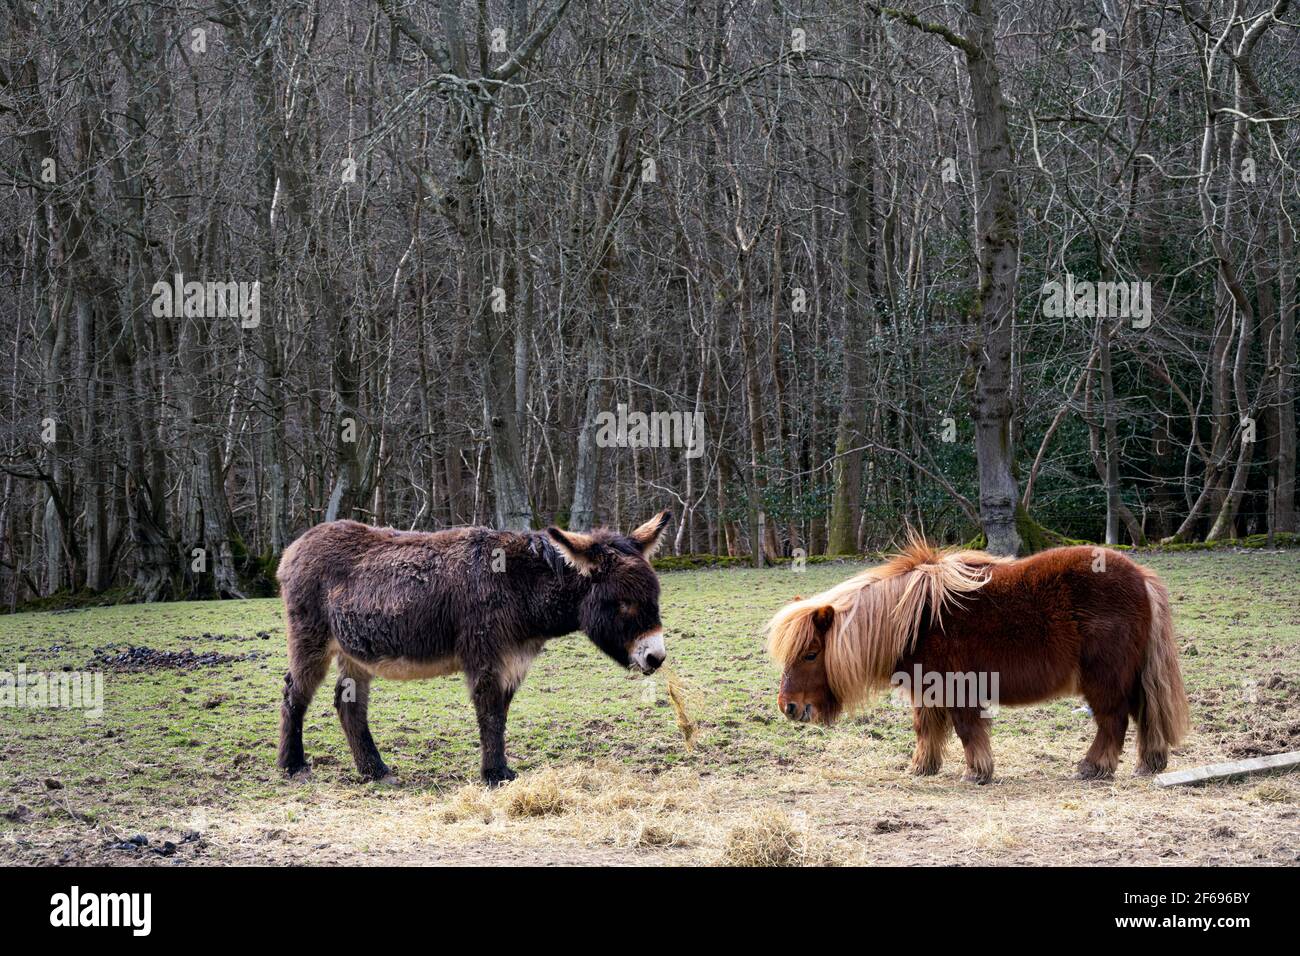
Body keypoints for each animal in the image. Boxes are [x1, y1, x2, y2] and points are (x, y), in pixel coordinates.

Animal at [275, 510, 672, 785]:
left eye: (654, 597)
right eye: (624, 603)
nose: (656, 657)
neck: (519, 584)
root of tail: (296, 545)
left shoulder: (514, 660)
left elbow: (501, 714)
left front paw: (499, 771)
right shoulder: (486, 656)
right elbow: (490, 713)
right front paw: (495, 775)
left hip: (354, 651)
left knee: (349, 705)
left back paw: (375, 771)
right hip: (311, 638)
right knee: (295, 693)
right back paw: (293, 767)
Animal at [767, 537, 1189, 783]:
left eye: (810, 654)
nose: (788, 707)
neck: (915, 620)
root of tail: (1141, 577)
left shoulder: (958, 688)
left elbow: (967, 730)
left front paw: (977, 772)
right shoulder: (927, 690)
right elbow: (926, 729)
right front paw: (922, 767)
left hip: (1104, 679)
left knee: (1113, 721)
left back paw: (1094, 768)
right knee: (1143, 715)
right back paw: (1149, 764)